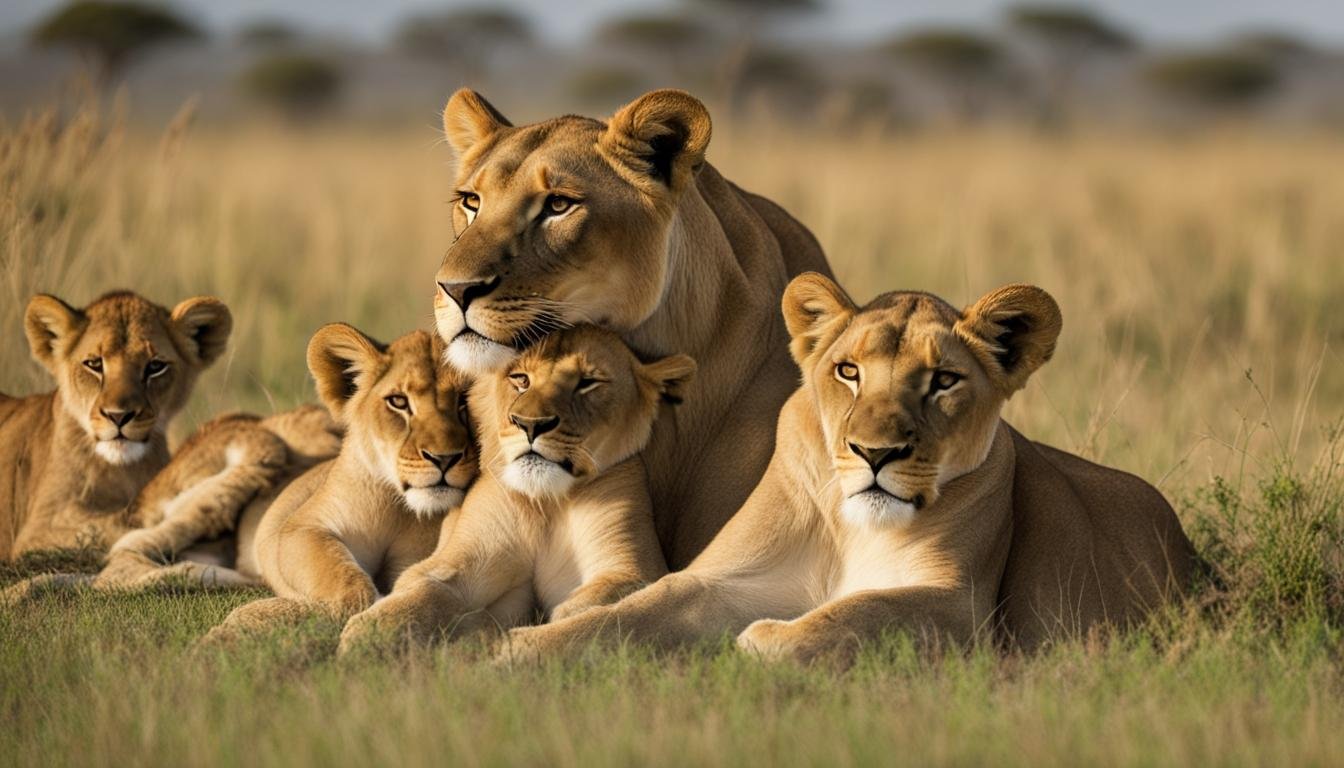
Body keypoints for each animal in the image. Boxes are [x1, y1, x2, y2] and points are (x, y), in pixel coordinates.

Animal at [0, 290, 231, 560]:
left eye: (155, 366)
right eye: (94, 364)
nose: (118, 416)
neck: (124, 470)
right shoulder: (35, 534)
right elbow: (112, 527)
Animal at [200, 324, 477, 639]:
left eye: (464, 399)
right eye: (399, 402)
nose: (444, 458)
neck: (398, 509)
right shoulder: (301, 526)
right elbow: (347, 584)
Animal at [337, 326, 693, 653]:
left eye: (587, 382)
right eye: (520, 379)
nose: (530, 425)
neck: (545, 503)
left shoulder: (634, 566)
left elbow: (604, 599)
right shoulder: (457, 560)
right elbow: (424, 589)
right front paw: (367, 634)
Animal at [497, 274, 1197, 664]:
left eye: (944, 381)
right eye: (848, 371)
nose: (875, 454)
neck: (850, 525)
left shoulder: (961, 608)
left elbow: (857, 610)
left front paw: (763, 641)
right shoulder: (726, 580)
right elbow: (641, 606)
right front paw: (517, 648)